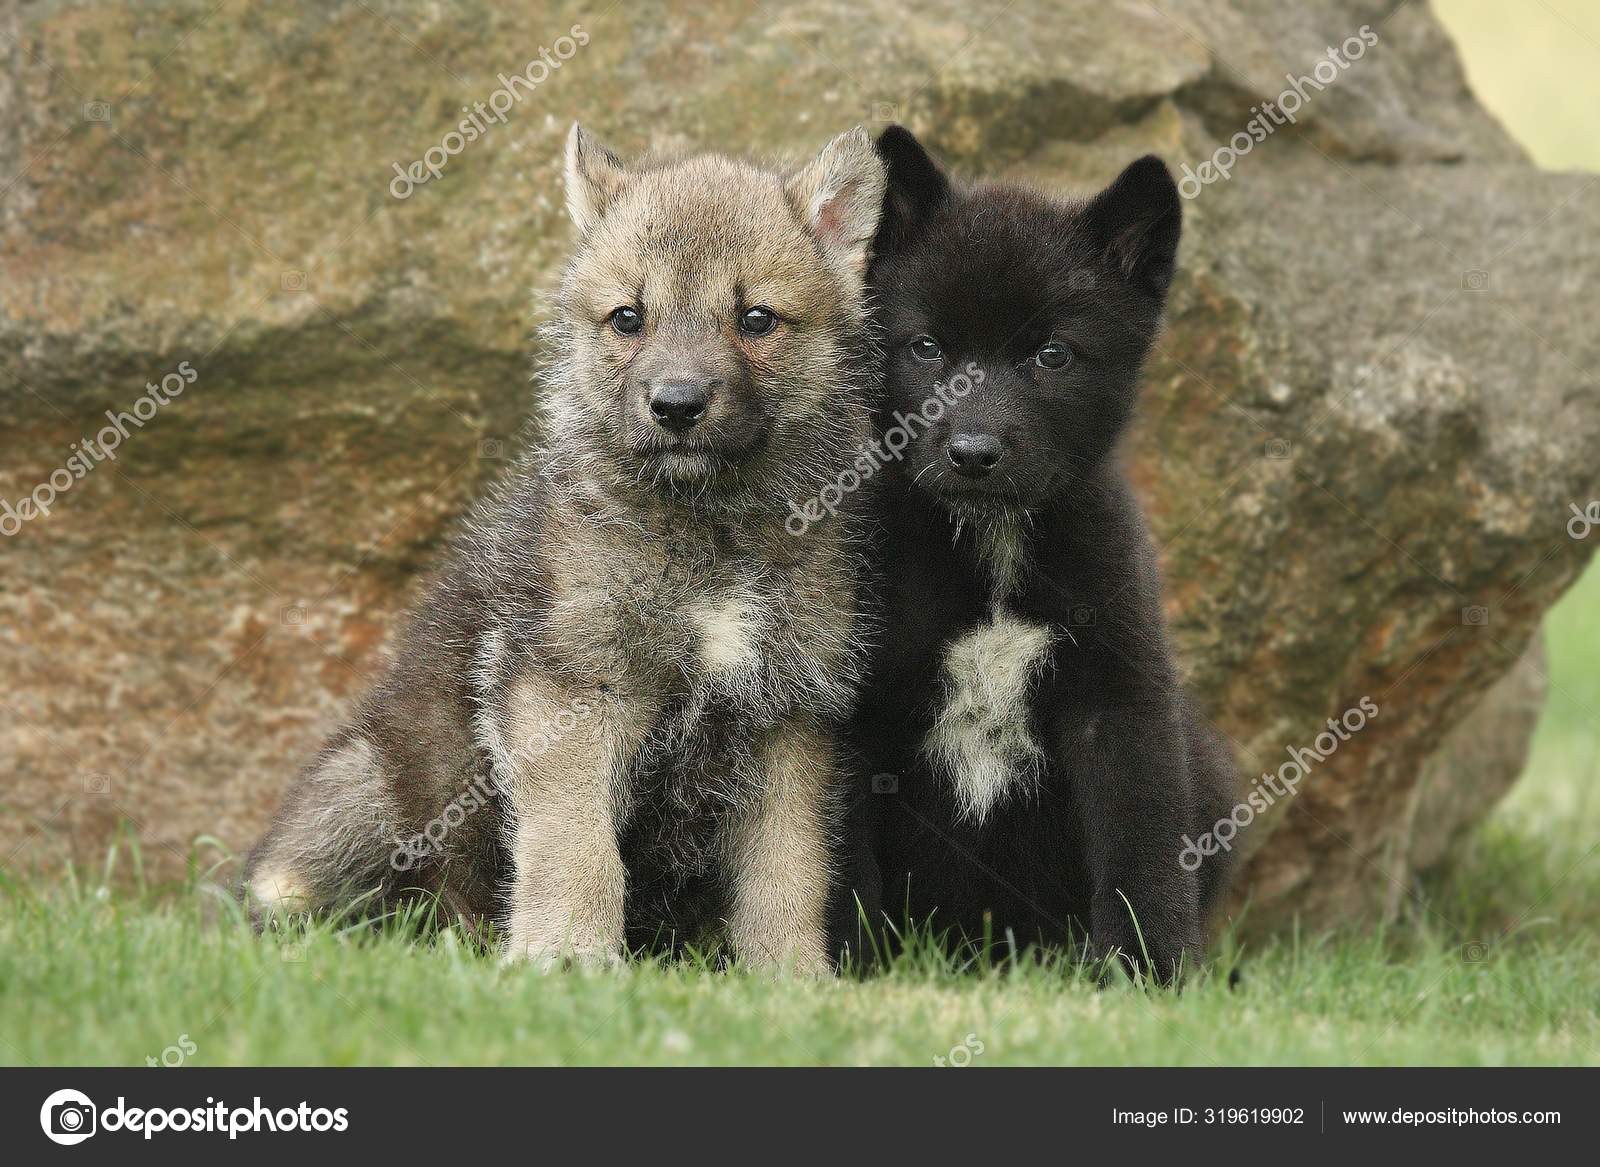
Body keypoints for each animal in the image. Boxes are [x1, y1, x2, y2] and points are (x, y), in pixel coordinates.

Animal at [245, 125, 887, 972]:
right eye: (628, 318)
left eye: (756, 318)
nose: (676, 404)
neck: (708, 533)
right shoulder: (572, 687)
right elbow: (576, 846)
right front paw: (567, 955)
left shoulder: (789, 716)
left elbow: (787, 872)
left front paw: (791, 975)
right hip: (365, 787)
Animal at [845, 127, 1237, 981]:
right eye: (926, 346)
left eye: (1053, 356)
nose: (972, 451)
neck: (992, 546)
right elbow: (828, 855)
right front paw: (833, 961)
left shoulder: (1120, 700)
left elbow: (1142, 846)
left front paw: (1150, 969)